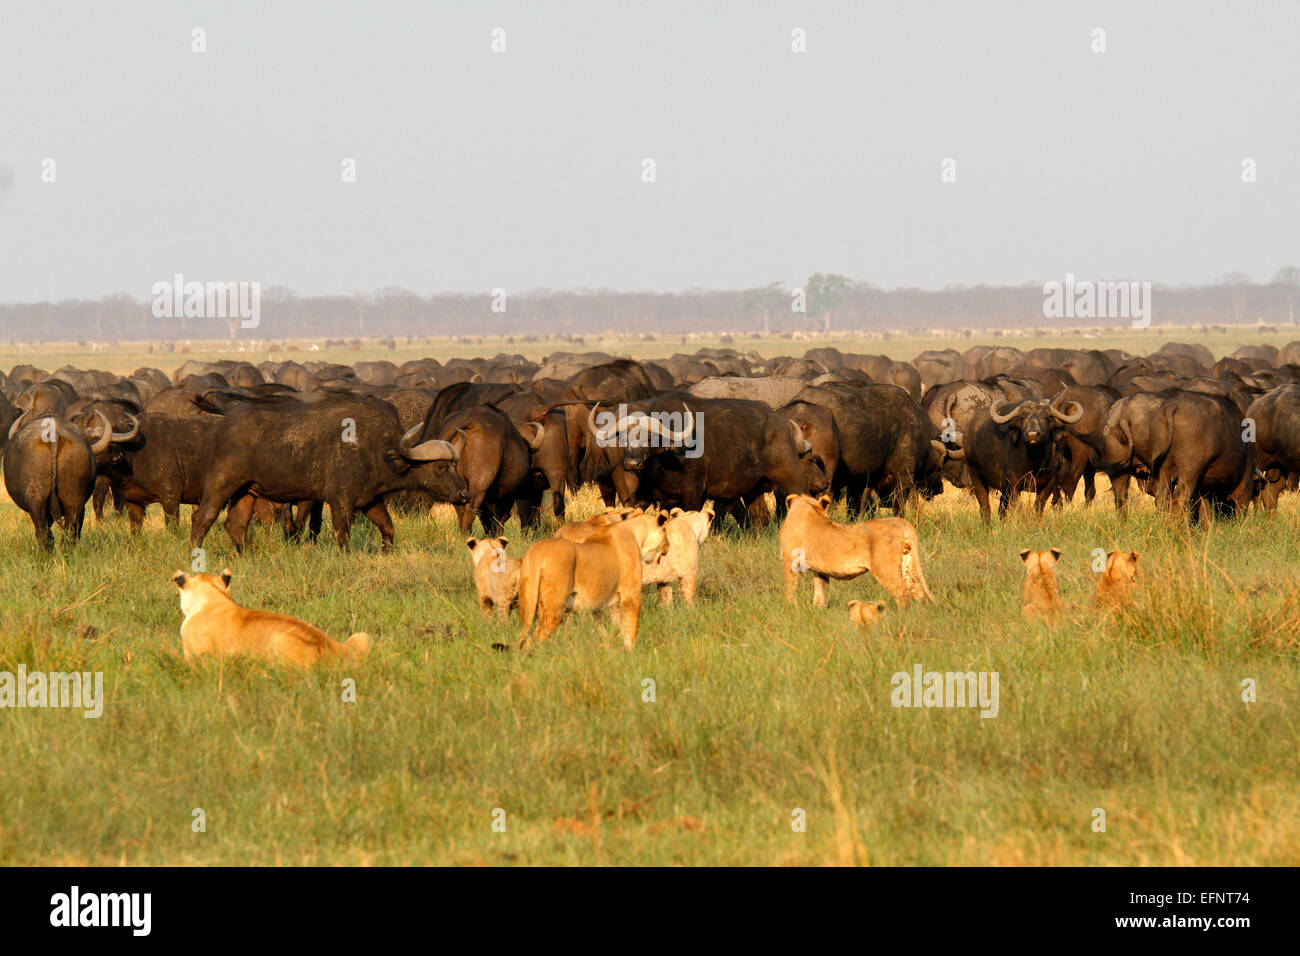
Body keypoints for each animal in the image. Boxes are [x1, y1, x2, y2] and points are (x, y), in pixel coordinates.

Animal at [516, 512, 669, 651]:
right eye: (665, 532)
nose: (668, 546)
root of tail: (538, 551)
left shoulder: (606, 604)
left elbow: (611, 627)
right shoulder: (631, 595)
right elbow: (630, 629)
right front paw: (631, 653)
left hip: (528, 604)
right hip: (554, 606)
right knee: (535, 638)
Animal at [780, 494, 934, 607]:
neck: (806, 508)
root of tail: (900, 522)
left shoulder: (791, 562)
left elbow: (790, 589)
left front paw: (790, 609)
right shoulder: (821, 570)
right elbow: (820, 592)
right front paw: (818, 610)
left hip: (885, 567)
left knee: (902, 593)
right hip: (907, 564)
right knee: (918, 593)